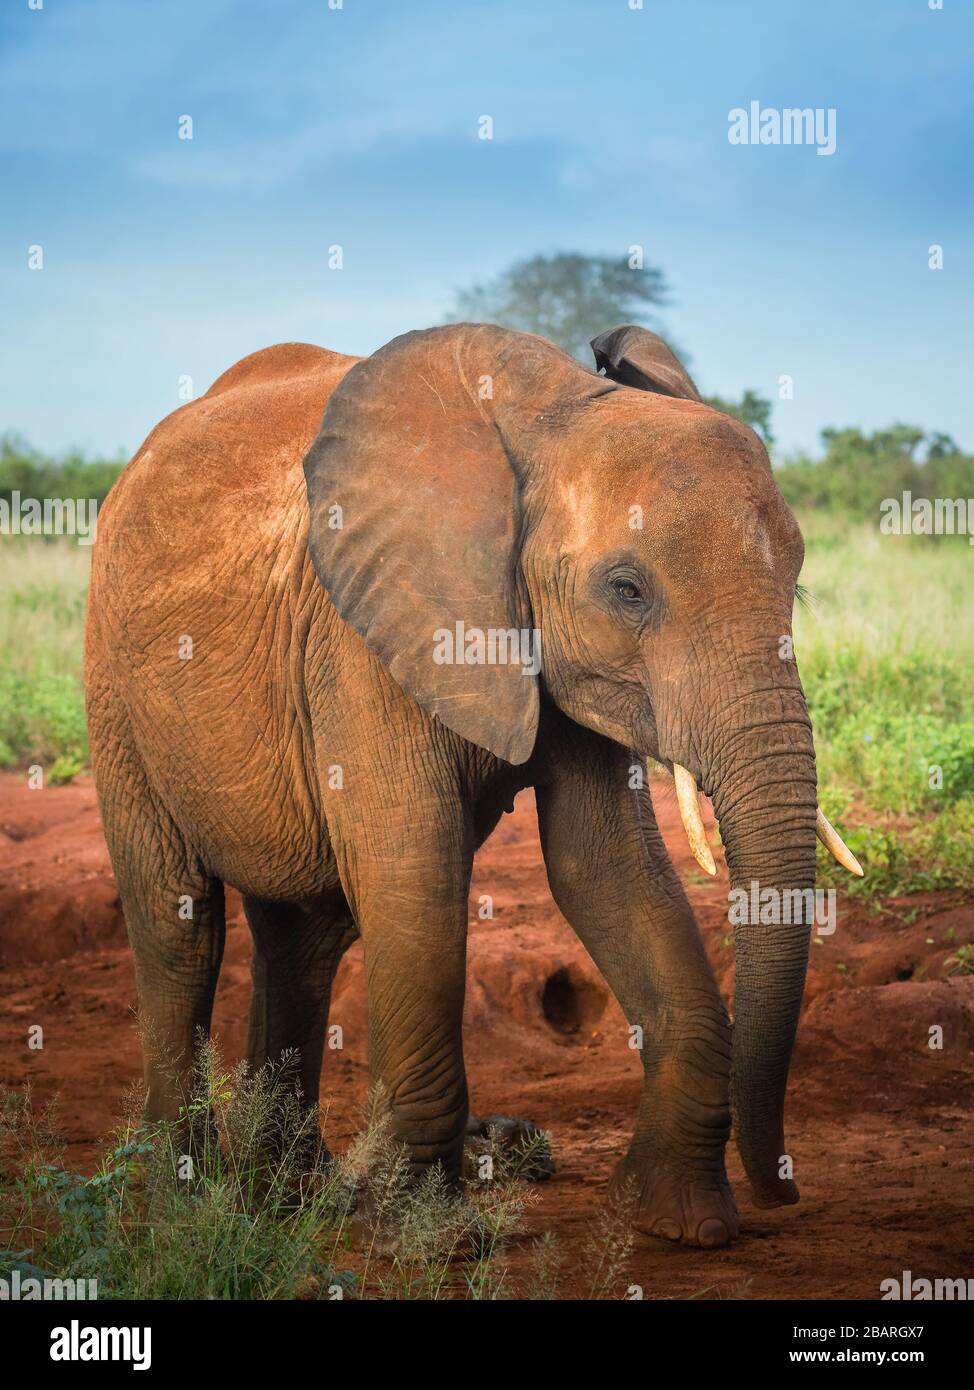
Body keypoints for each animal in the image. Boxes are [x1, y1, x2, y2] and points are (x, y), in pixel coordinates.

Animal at [84, 321, 861, 1249]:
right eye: (628, 591)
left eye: (797, 585)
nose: (785, 1191)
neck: (551, 413)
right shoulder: (362, 635)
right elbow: (412, 873)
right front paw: (433, 1240)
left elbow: (605, 871)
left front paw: (679, 1225)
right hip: (113, 682)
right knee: (180, 924)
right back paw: (188, 1206)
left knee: (306, 934)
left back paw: (291, 1195)